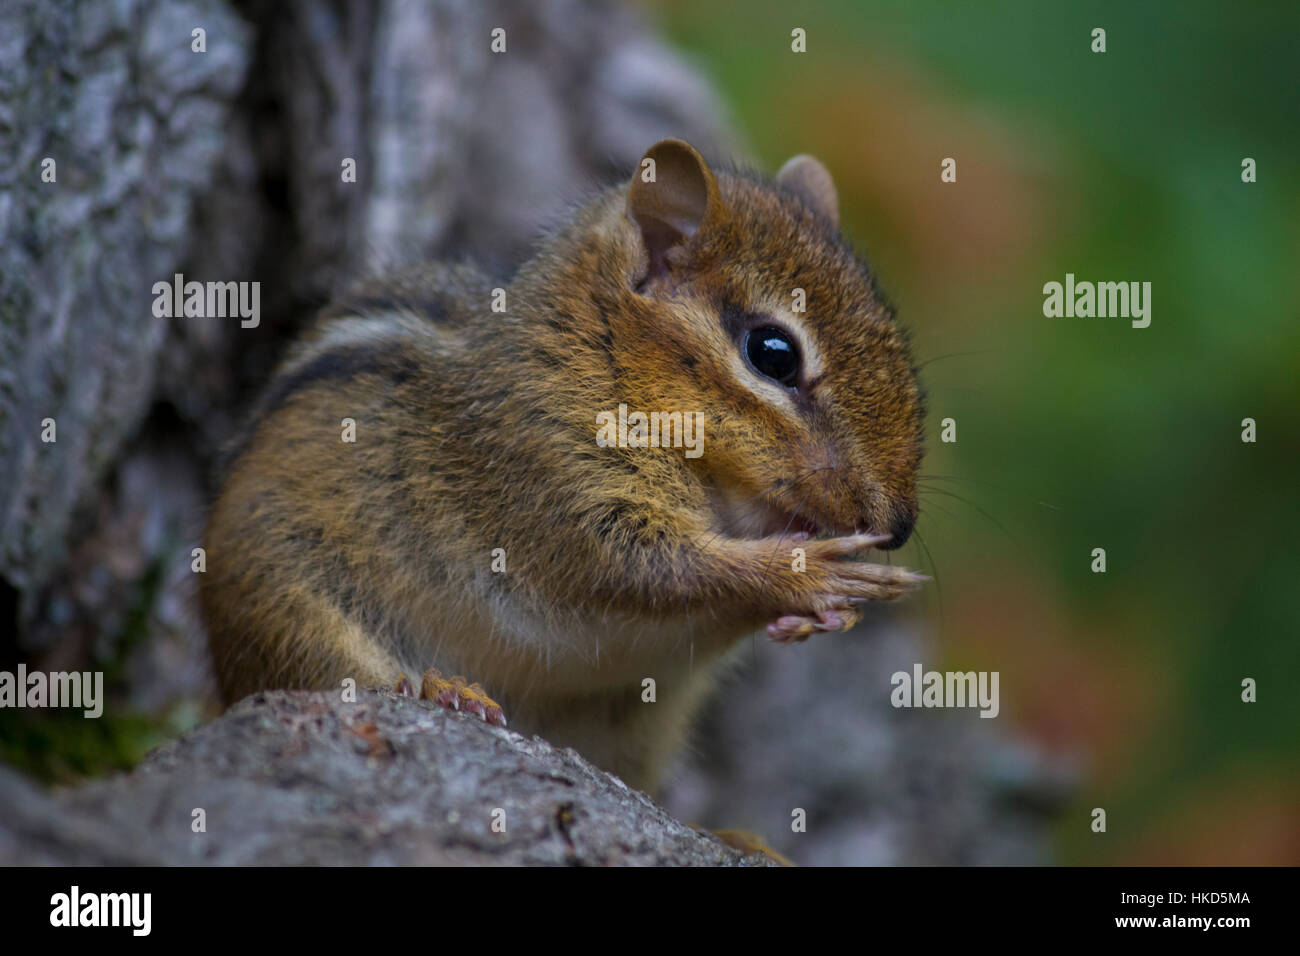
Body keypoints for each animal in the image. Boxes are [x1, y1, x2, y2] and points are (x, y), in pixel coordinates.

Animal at [200, 139, 926, 795]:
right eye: (773, 353)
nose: (898, 525)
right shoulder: (544, 470)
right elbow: (645, 570)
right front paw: (808, 573)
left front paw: (821, 614)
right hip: (282, 597)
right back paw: (441, 687)